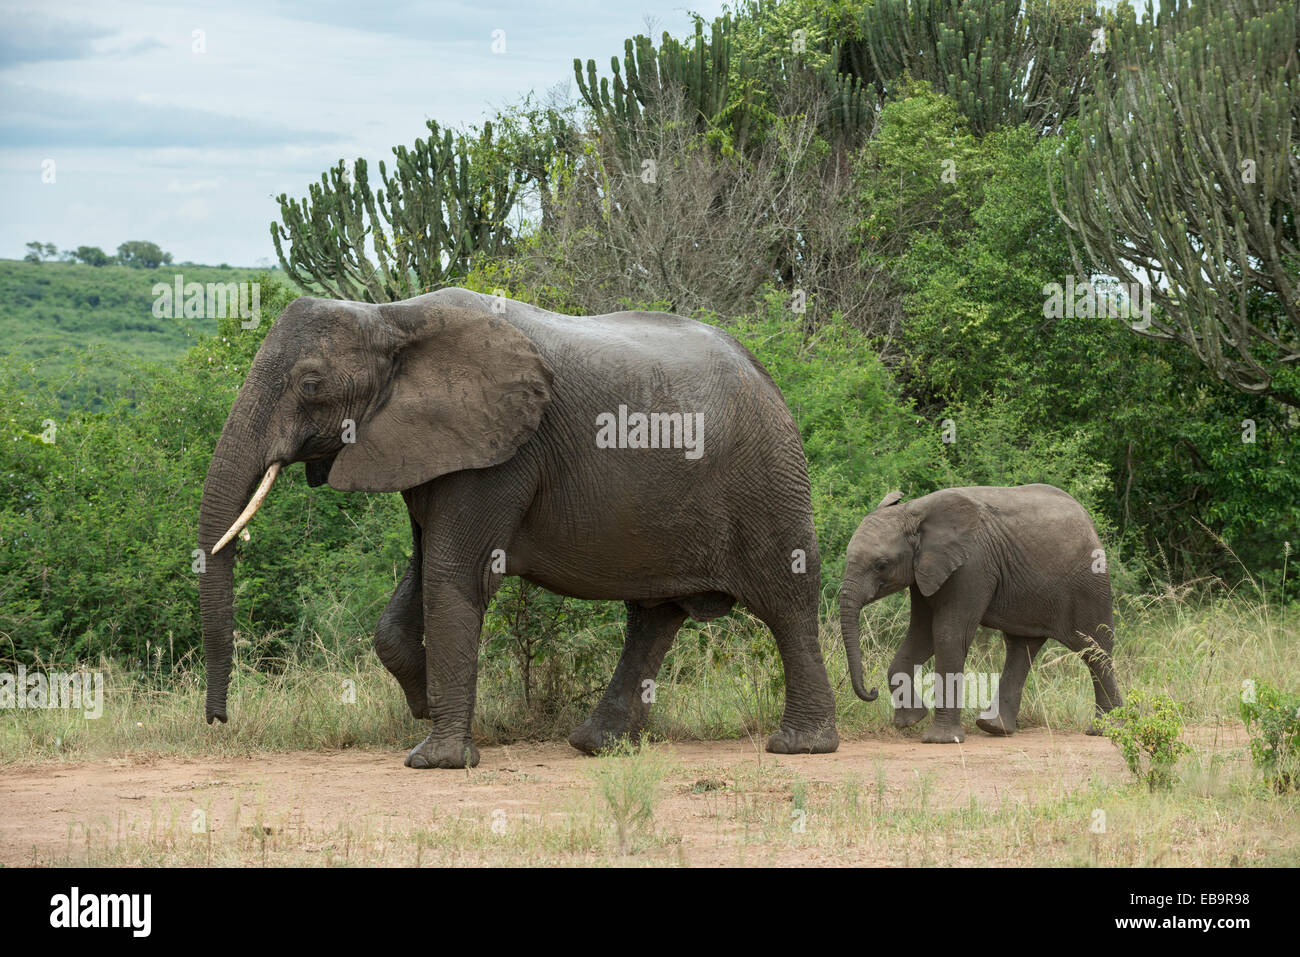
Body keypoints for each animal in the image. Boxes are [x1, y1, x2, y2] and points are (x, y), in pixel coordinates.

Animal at [197, 288, 839, 768]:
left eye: (310, 385)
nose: (218, 720)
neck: (391, 316)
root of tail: (764, 371)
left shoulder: (504, 454)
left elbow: (455, 574)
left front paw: (436, 759)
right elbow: (419, 574)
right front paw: (425, 705)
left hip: (766, 474)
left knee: (786, 599)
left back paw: (799, 746)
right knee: (654, 617)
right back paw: (596, 746)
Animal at [838, 484, 1121, 743]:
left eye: (881, 565)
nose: (872, 690)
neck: (914, 511)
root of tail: (1088, 521)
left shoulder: (971, 566)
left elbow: (948, 635)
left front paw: (940, 740)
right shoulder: (926, 572)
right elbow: (922, 636)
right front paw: (909, 721)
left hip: (1089, 584)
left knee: (1094, 649)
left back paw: (1103, 730)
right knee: (1021, 647)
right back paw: (995, 728)